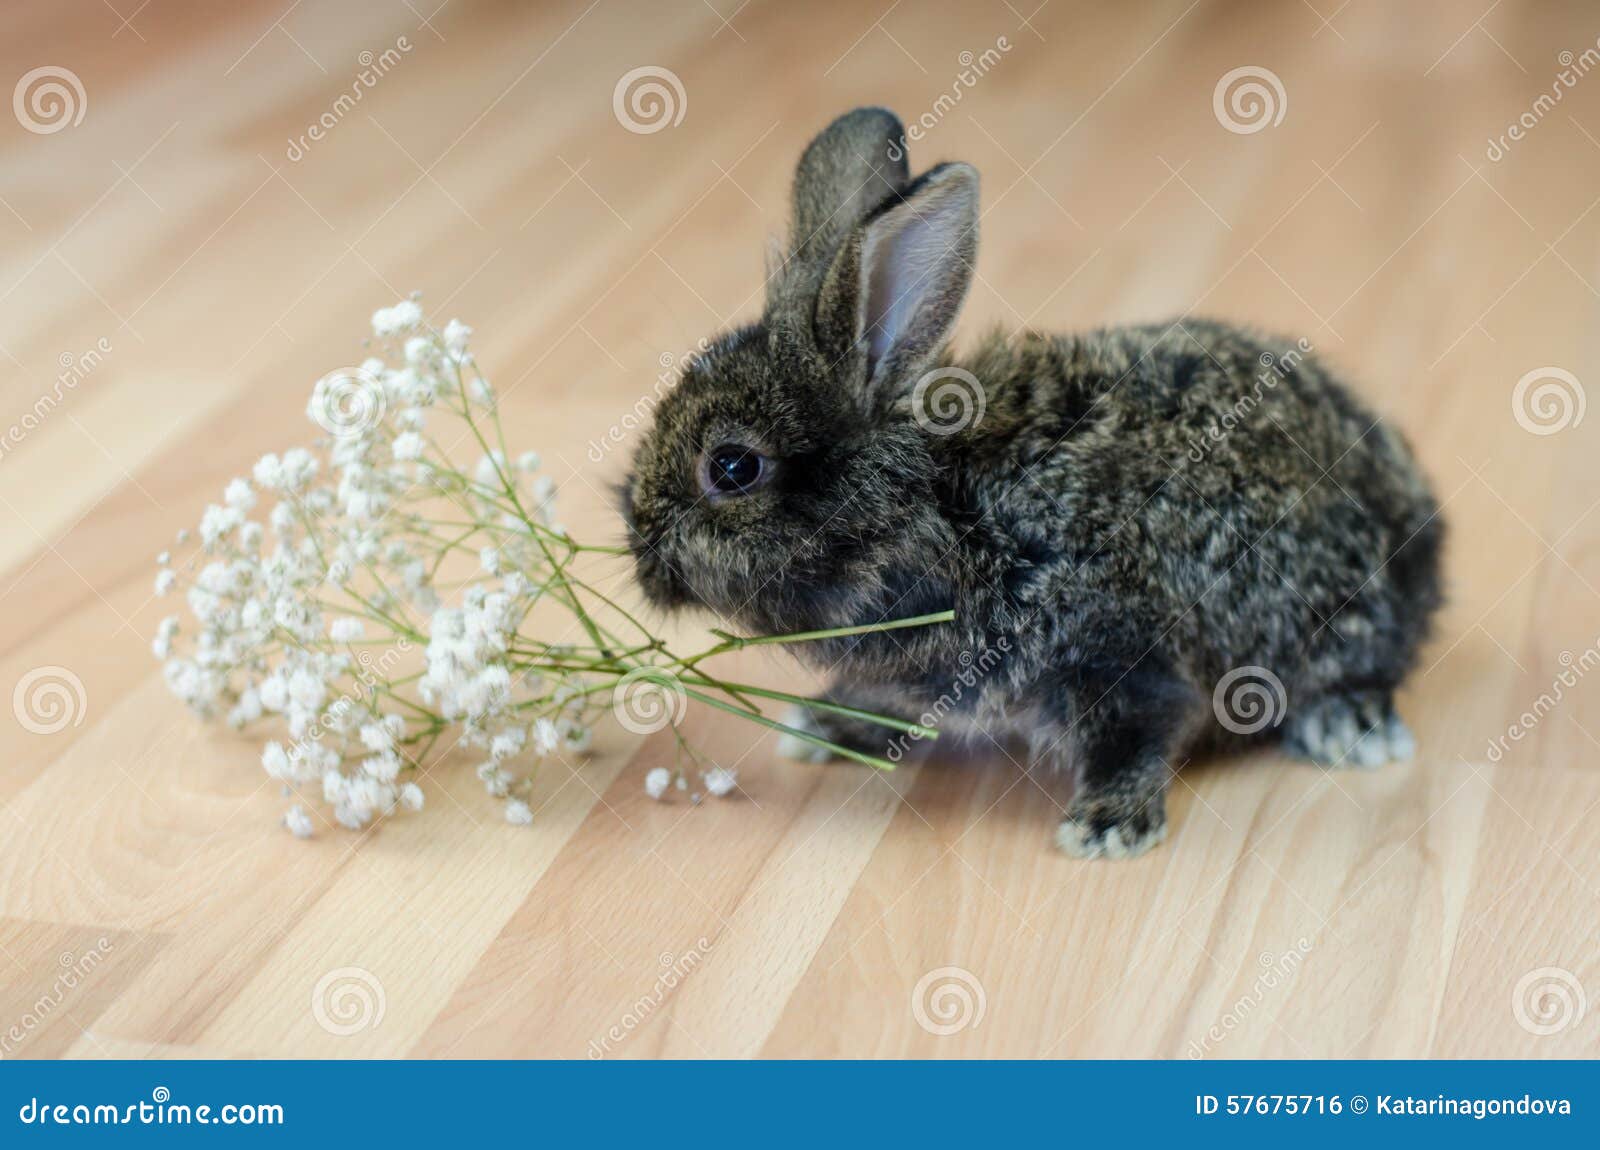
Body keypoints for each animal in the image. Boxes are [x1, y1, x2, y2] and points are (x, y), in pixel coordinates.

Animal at [619, 107, 1444, 859]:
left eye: (732, 467)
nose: (639, 542)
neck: (931, 510)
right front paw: (824, 723)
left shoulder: (1114, 643)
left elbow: (1140, 731)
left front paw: (1108, 826)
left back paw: (1349, 726)